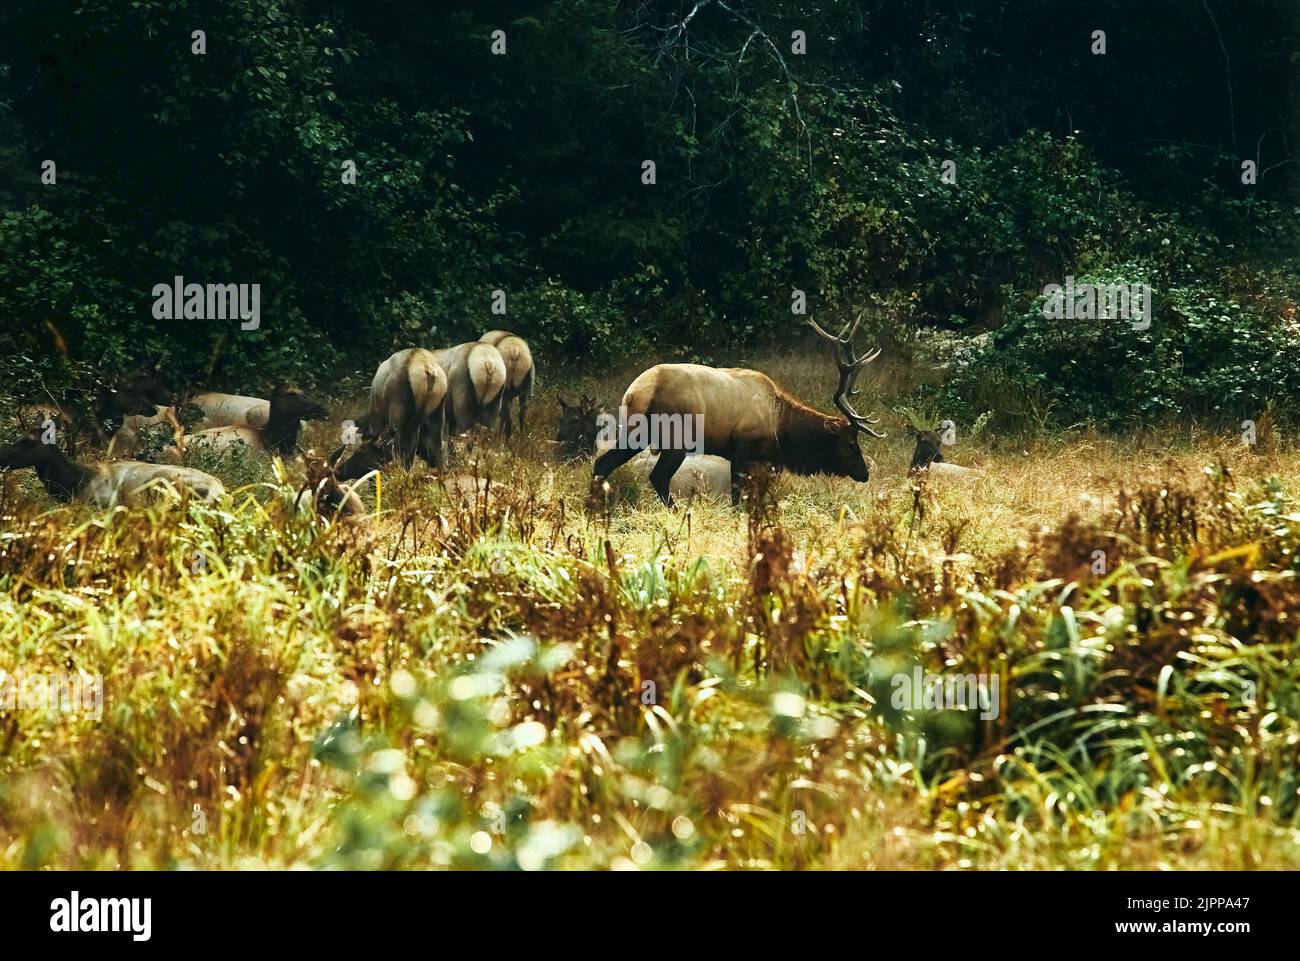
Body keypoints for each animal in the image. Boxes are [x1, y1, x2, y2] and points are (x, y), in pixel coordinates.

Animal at [591, 316, 885, 505]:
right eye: (851, 444)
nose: (865, 474)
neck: (781, 430)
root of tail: (635, 392)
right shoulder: (744, 446)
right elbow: (737, 495)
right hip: (676, 437)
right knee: (658, 476)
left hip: (634, 432)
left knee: (602, 463)